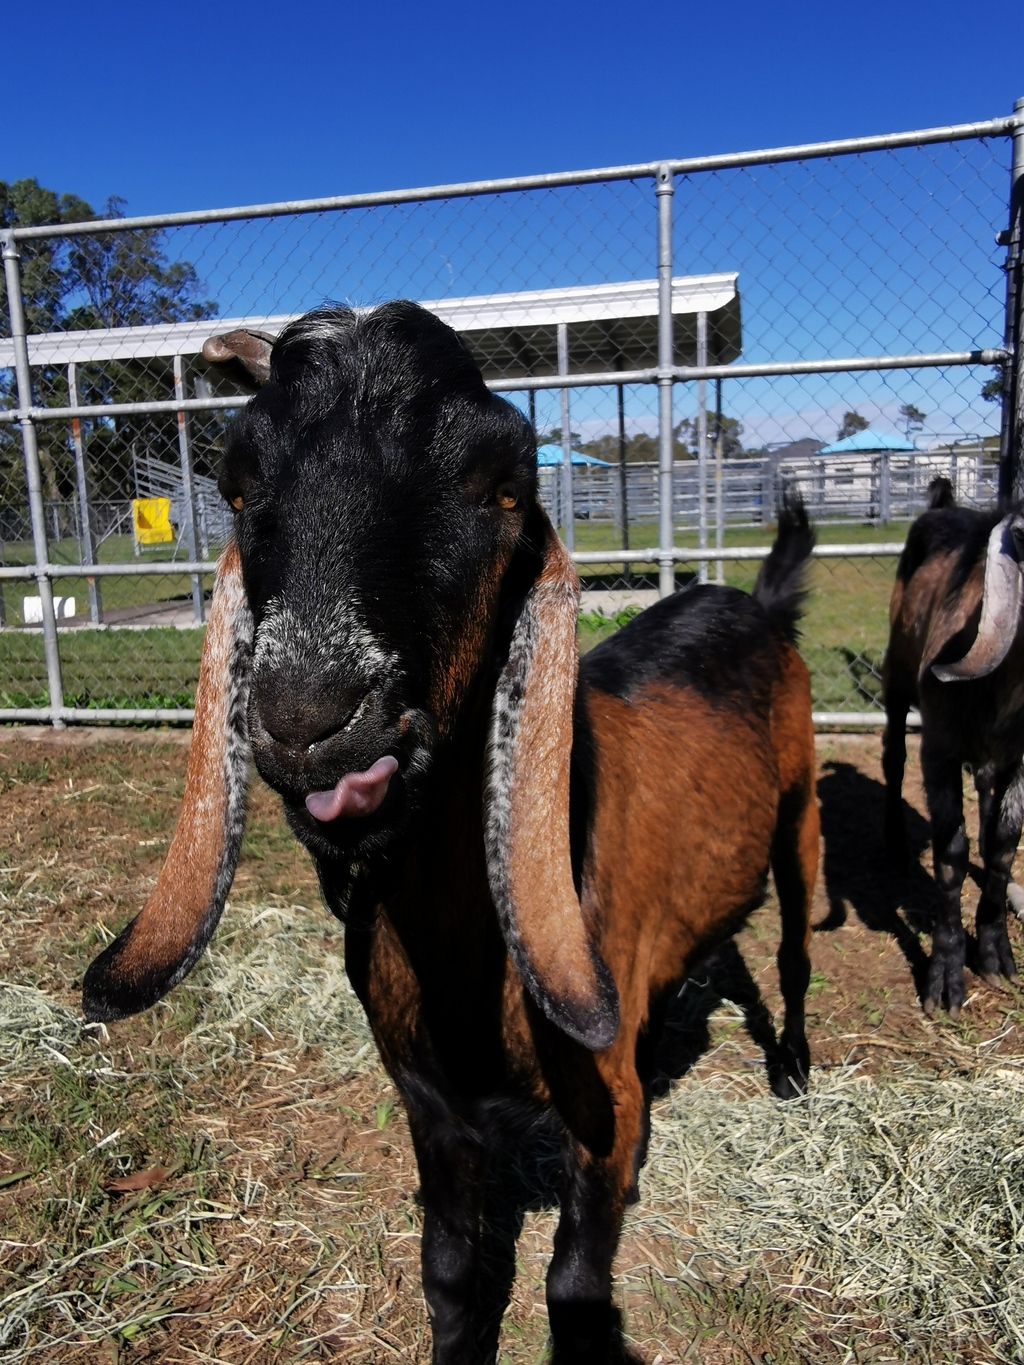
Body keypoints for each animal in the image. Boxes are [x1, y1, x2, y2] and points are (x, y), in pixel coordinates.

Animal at [83, 303, 819, 1364]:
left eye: (504, 488)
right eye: (237, 487)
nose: (309, 717)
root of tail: (752, 602)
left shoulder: (605, 1108)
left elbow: (573, 1285)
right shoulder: (430, 1108)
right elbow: (451, 1277)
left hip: (800, 805)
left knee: (797, 945)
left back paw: (793, 1068)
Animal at [884, 476, 1024, 1019]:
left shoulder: (1020, 757)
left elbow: (1004, 844)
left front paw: (995, 953)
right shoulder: (939, 750)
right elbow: (950, 854)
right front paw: (944, 976)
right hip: (897, 675)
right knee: (893, 758)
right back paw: (895, 846)